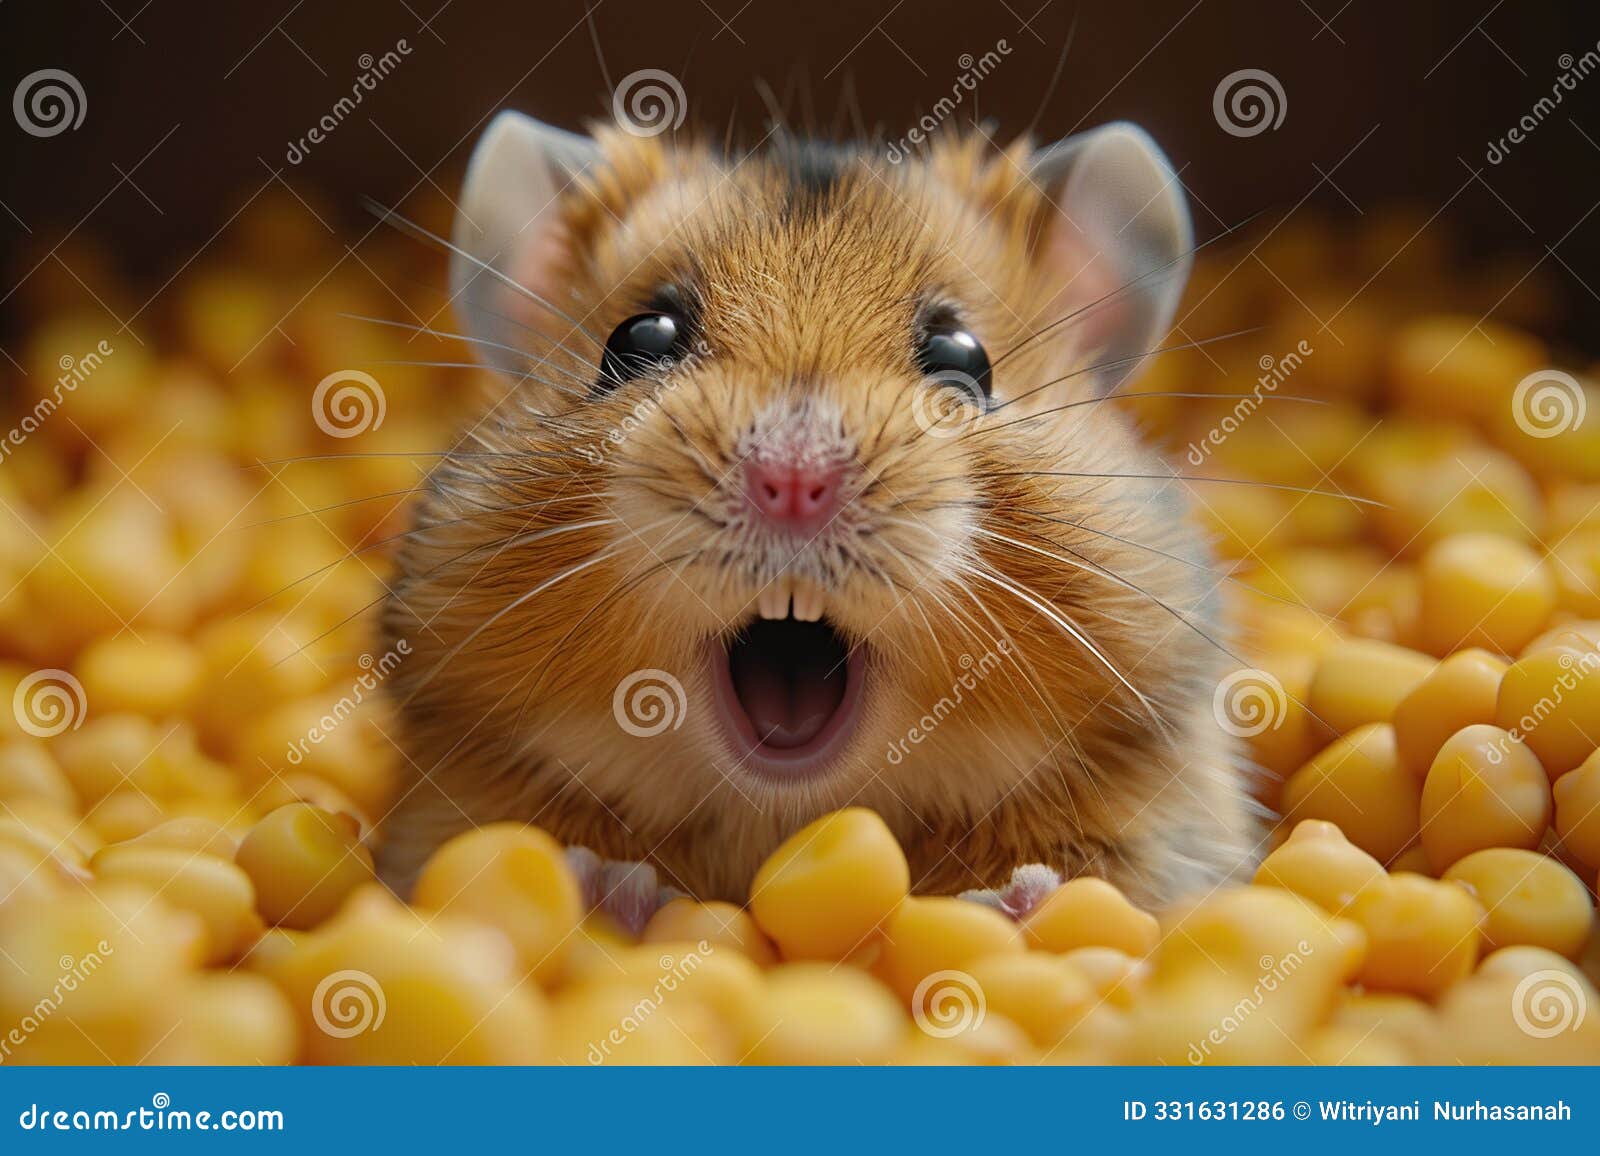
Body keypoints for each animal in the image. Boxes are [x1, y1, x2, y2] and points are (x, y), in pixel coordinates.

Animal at [373, 110, 1259, 916]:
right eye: (636, 340)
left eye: (966, 359)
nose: (794, 480)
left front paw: (1020, 894)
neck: (784, 818)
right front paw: (608, 882)